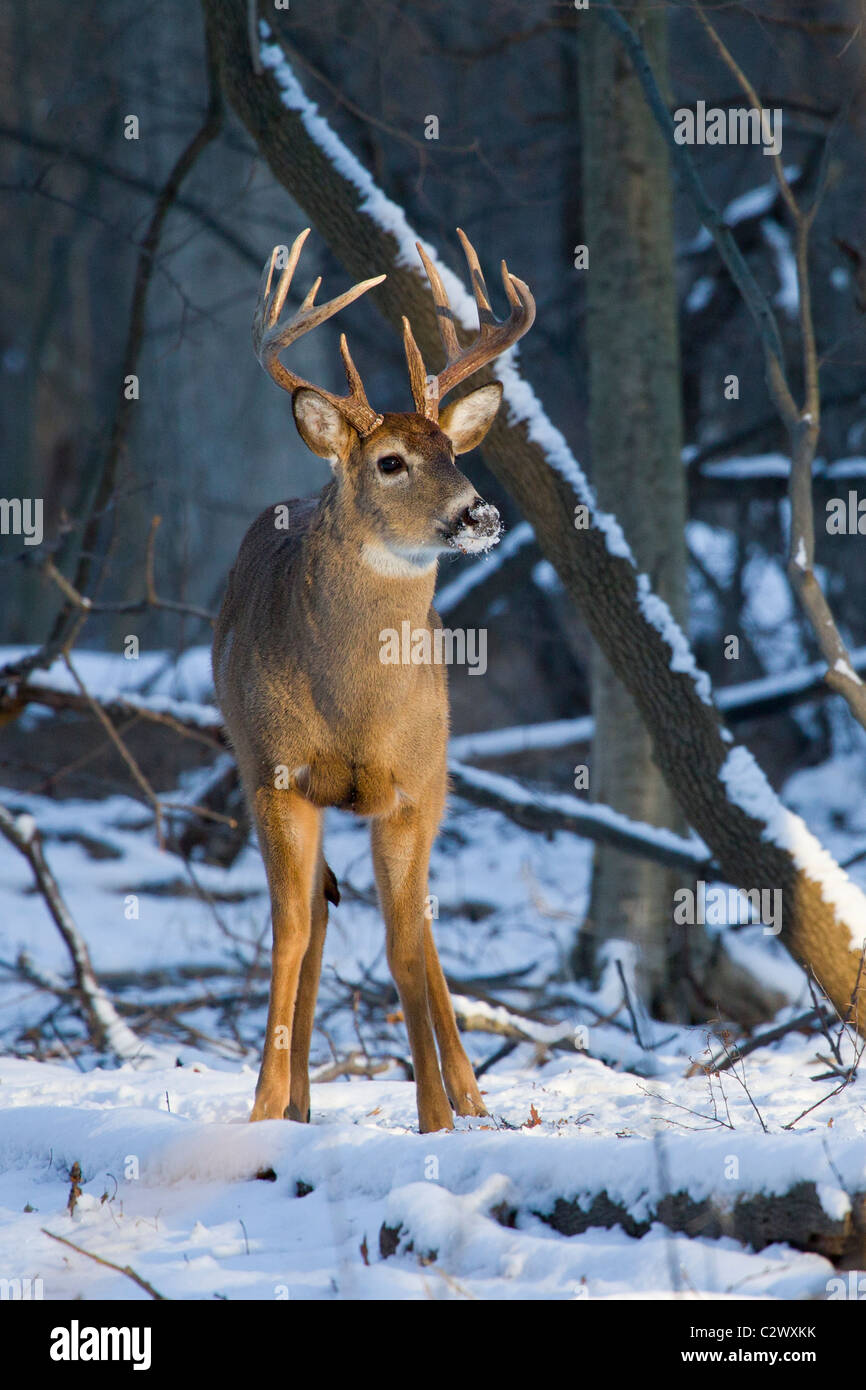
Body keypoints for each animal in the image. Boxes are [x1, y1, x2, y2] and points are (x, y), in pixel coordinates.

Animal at [213, 227, 535, 1132]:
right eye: (391, 461)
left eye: (453, 451)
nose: (478, 513)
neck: (353, 705)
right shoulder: (275, 775)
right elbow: (291, 932)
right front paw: (262, 1105)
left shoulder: (411, 786)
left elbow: (403, 945)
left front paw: (436, 1117)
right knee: (318, 919)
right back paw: (299, 1102)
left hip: (439, 776)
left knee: (418, 926)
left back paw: (470, 1091)